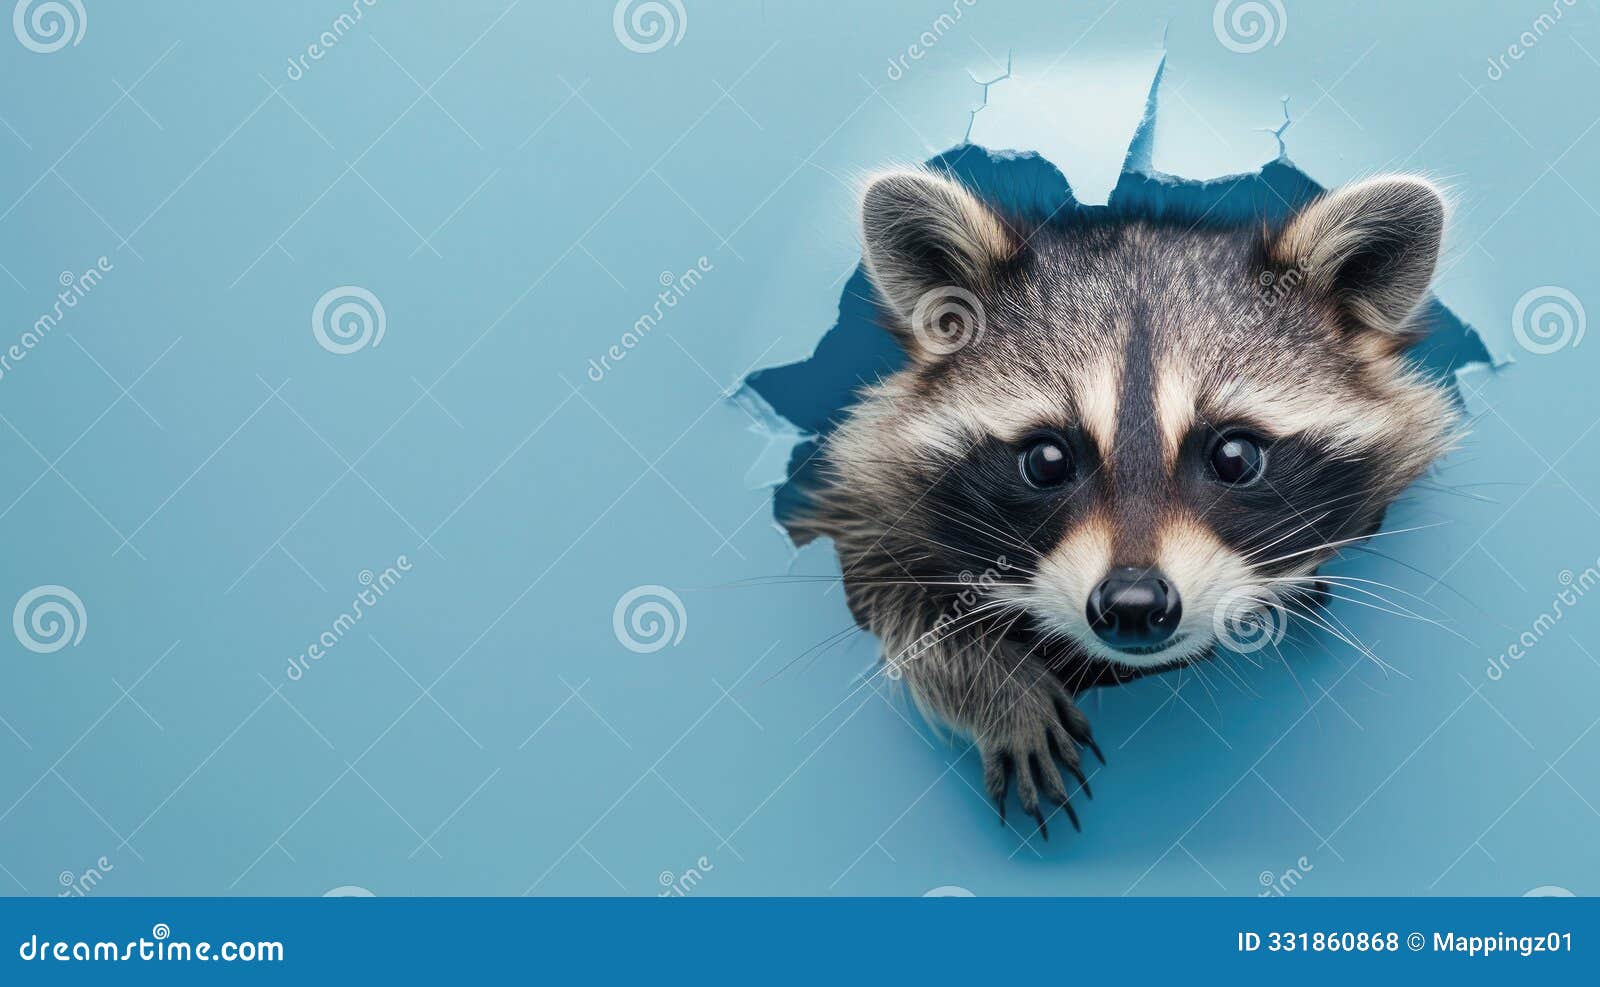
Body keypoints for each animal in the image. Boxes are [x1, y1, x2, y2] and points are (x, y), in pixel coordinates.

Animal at [801, 167, 1456, 836]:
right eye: (1047, 460)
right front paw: (1001, 691)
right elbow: (890, 595)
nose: (1135, 603)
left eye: (1235, 457)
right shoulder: (869, 496)